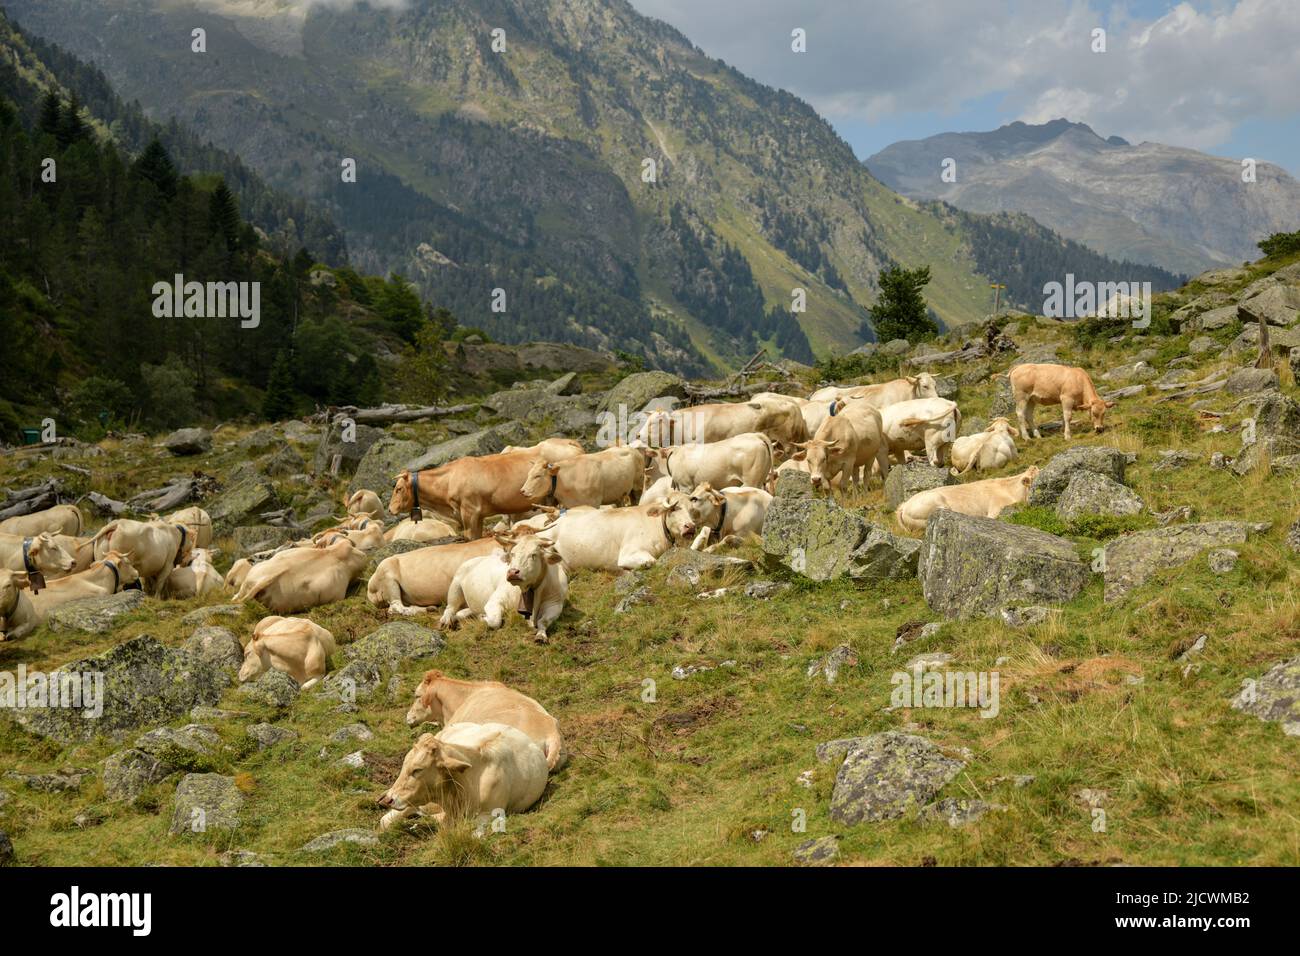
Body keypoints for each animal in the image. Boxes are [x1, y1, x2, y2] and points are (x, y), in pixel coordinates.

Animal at [440, 534, 569, 642]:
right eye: (513, 554)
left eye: (534, 555)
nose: (512, 572)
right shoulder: (495, 601)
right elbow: (495, 621)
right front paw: (482, 618)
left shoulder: (555, 604)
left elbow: (543, 621)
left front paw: (541, 636)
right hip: (455, 586)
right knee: (450, 608)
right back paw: (446, 620)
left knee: (463, 611)